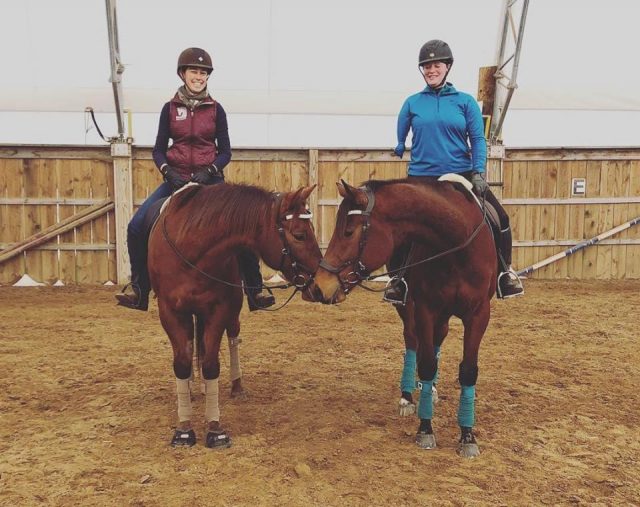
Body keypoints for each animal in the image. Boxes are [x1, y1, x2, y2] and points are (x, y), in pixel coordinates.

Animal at [147, 182, 321, 448]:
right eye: (300, 235)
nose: (321, 283)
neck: (191, 251)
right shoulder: (170, 312)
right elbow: (182, 362)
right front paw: (184, 429)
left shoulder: (219, 310)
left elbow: (211, 364)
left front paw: (214, 428)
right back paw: (191, 386)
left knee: (232, 339)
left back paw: (235, 385)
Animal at [310, 177, 496, 457]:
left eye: (349, 231)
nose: (321, 286)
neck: (455, 246)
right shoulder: (425, 308)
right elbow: (426, 363)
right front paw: (425, 429)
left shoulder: (478, 314)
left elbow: (468, 370)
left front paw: (467, 435)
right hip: (409, 307)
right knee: (412, 341)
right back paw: (409, 396)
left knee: (438, 339)